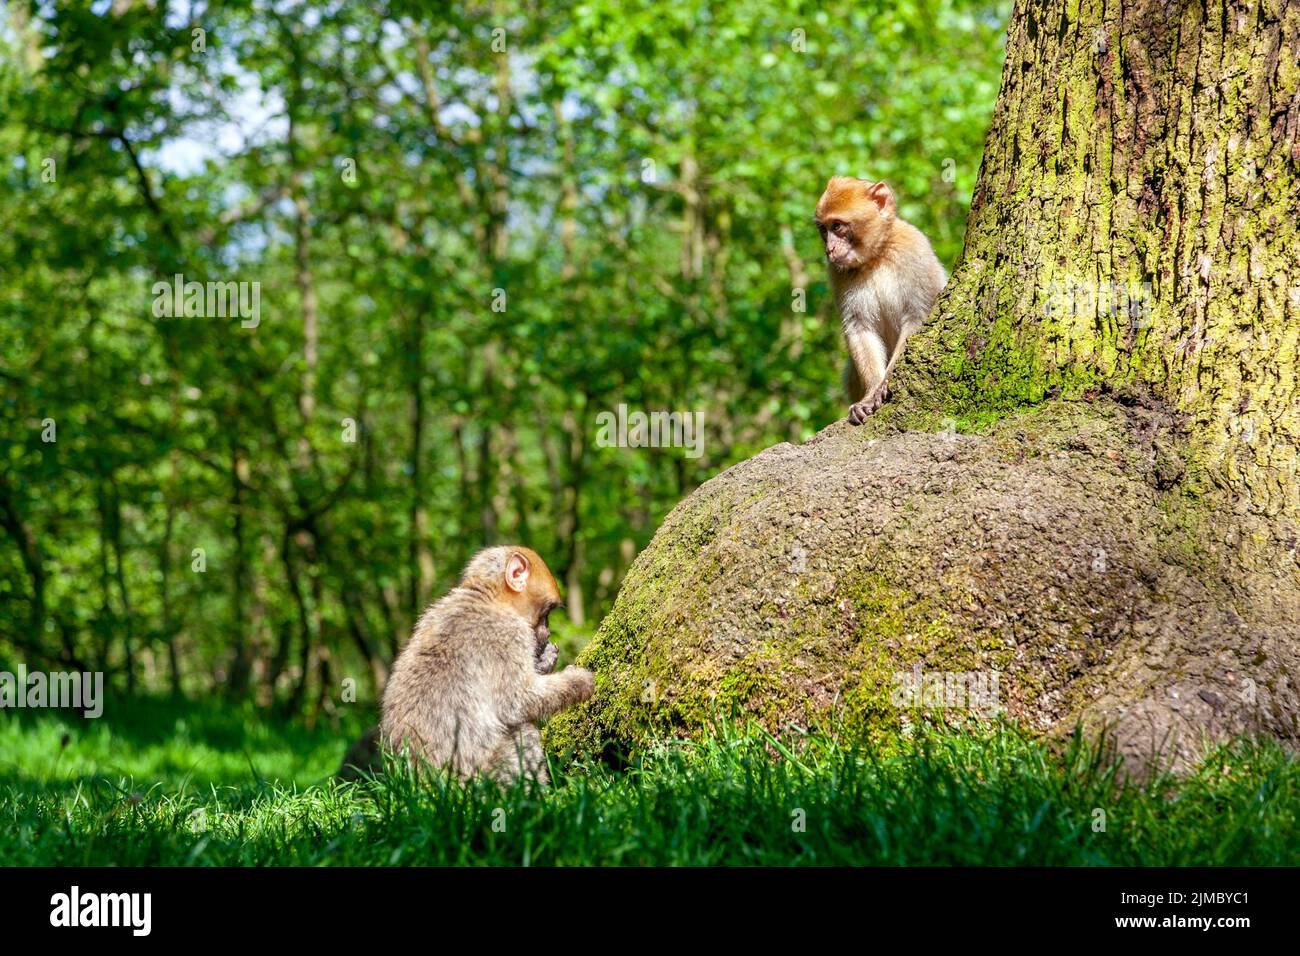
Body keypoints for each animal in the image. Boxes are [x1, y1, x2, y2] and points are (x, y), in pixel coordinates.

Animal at [378, 545, 594, 785]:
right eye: (547, 613)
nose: (547, 631)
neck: (489, 599)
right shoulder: (508, 632)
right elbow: (517, 700)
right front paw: (580, 681)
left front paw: (545, 660)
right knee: (523, 731)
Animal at [814, 176, 947, 424]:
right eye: (823, 229)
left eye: (836, 226)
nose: (830, 249)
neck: (875, 257)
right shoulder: (836, 273)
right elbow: (860, 327)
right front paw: (870, 394)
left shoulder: (915, 250)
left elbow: (917, 317)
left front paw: (884, 384)